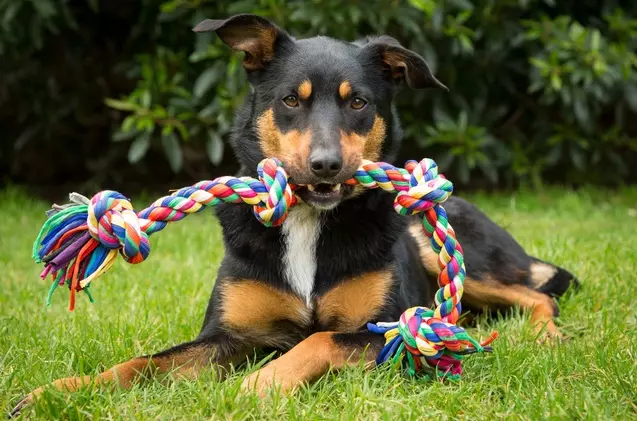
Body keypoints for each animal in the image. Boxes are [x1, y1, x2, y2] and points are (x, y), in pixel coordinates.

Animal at [9, 13, 580, 416]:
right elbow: (145, 362)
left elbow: (317, 340)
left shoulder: (388, 330)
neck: (308, 220)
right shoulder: (229, 337)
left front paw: (259, 385)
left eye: (358, 104)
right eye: (290, 100)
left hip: (455, 259)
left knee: (536, 295)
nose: (326, 164)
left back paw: (546, 338)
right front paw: (61, 391)